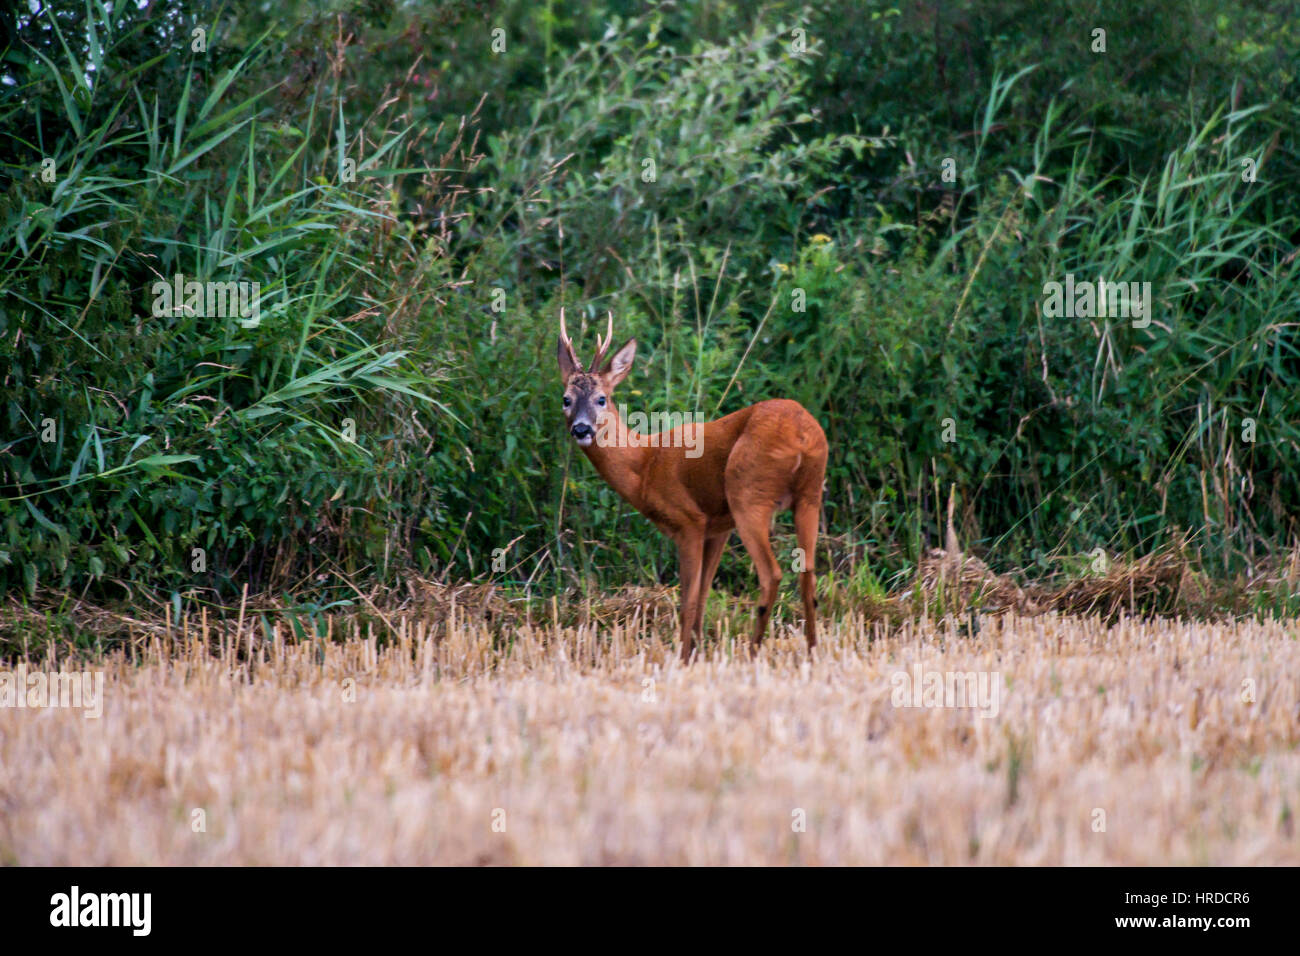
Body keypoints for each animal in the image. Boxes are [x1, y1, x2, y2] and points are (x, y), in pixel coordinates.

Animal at [557, 309, 828, 662]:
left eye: (602, 399)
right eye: (566, 399)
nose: (581, 429)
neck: (645, 464)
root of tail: (801, 435)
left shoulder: (689, 521)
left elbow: (687, 601)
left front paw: (683, 658)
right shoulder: (717, 527)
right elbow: (702, 597)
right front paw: (696, 654)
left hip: (748, 493)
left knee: (772, 574)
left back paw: (753, 653)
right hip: (810, 494)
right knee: (808, 576)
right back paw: (812, 652)